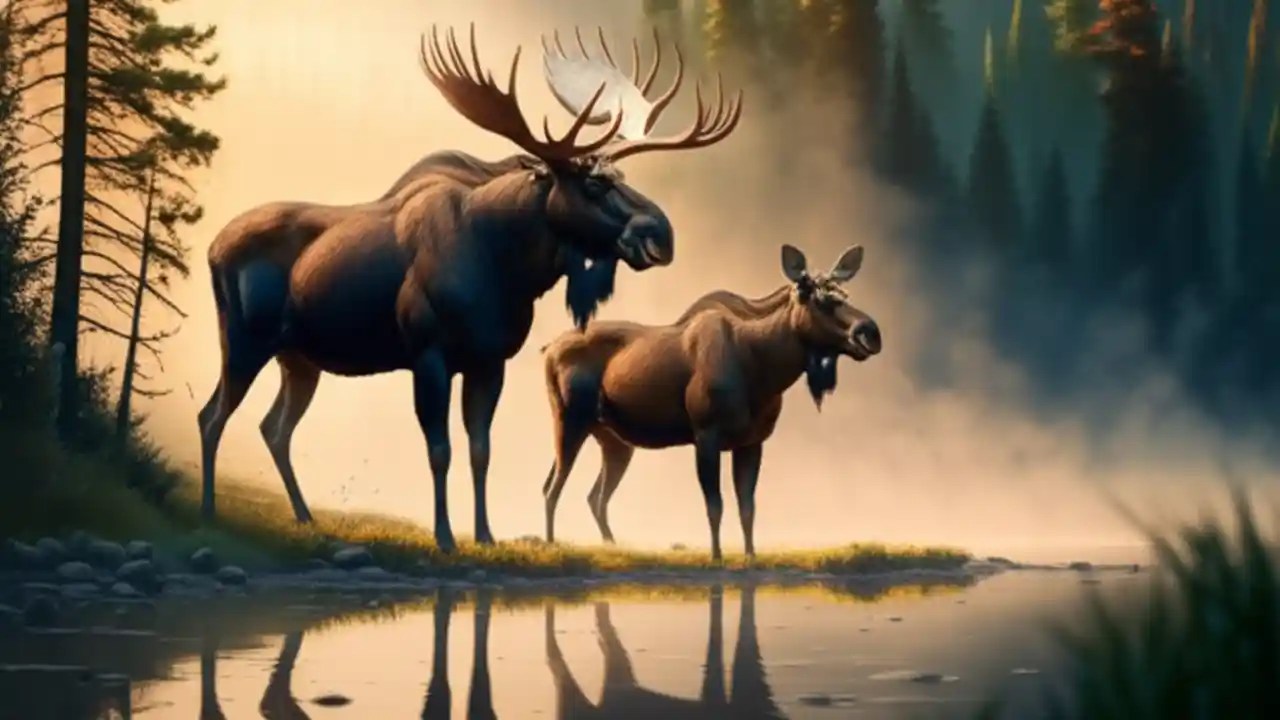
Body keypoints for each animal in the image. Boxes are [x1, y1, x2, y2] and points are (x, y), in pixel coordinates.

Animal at [196, 24, 744, 552]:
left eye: (621, 175)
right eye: (594, 184)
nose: (662, 234)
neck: (504, 266)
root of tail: (213, 246)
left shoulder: (489, 360)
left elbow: (481, 451)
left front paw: (484, 533)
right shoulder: (428, 353)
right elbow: (439, 450)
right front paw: (444, 537)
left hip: (299, 358)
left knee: (274, 428)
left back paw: (305, 516)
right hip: (244, 339)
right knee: (213, 415)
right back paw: (209, 511)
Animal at [541, 244, 882, 559]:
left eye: (845, 295)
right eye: (818, 299)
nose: (869, 333)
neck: (762, 371)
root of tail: (547, 348)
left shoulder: (752, 441)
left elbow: (748, 507)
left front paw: (750, 556)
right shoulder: (706, 435)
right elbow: (715, 505)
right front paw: (717, 557)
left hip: (615, 441)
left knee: (595, 496)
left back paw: (612, 547)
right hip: (569, 420)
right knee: (552, 488)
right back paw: (551, 545)